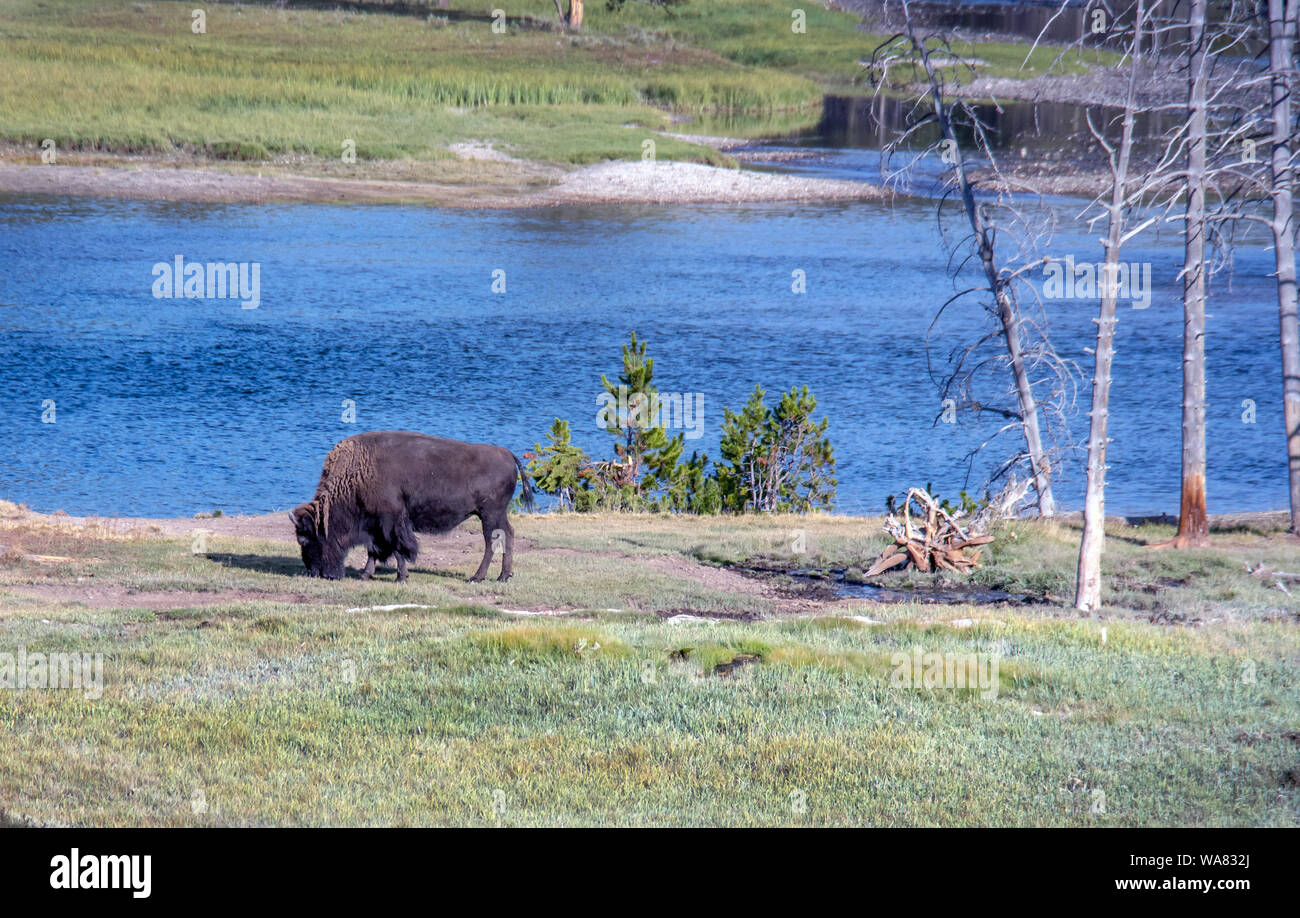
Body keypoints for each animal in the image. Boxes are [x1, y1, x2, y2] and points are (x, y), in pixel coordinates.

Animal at [289, 431, 534, 582]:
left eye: (304, 538)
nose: (315, 572)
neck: (359, 472)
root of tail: (507, 454)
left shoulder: (392, 522)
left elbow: (399, 549)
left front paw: (401, 577)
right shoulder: (375, 525)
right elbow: (374, 550)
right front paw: (366, 575)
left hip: (489, 515)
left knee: (492, 541)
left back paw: (476, 577)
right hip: (496, 515)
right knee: (508, 534)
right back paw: (503, 576)